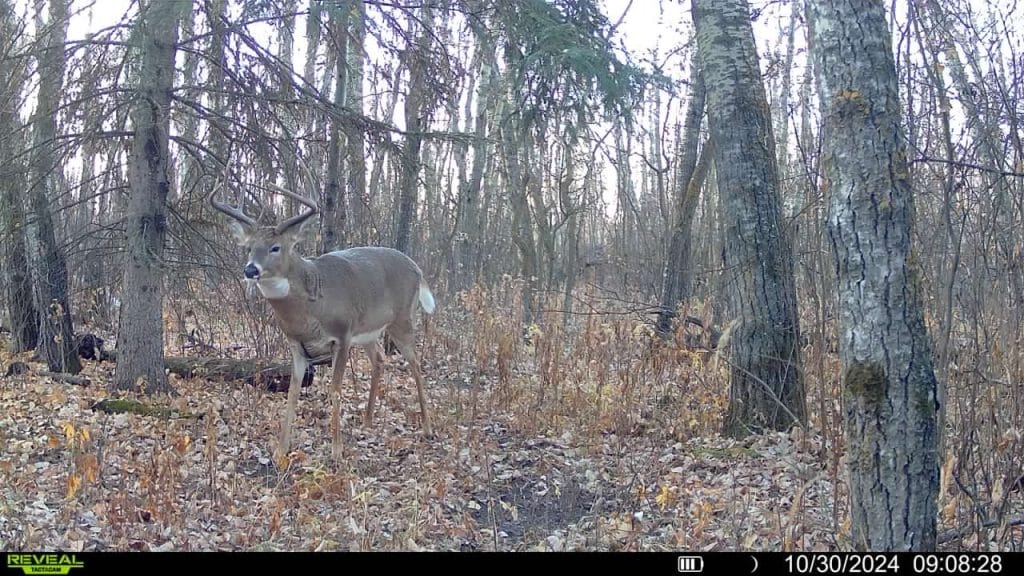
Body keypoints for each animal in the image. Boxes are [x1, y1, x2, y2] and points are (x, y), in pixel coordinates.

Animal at [210, 184, 435, 462]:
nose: (250, 270)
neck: (311, 308)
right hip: (369, 332)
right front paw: (281, 450)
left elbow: (335, 389)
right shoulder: (296, 344)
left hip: (402, 319)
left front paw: (337, 451)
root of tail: (417, 267)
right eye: (250, 247)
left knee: (416, 365)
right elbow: (293, 391)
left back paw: (427, 428)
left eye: (276, 247)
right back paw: (367, 422)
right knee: (380, 360)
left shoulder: (343, 335)